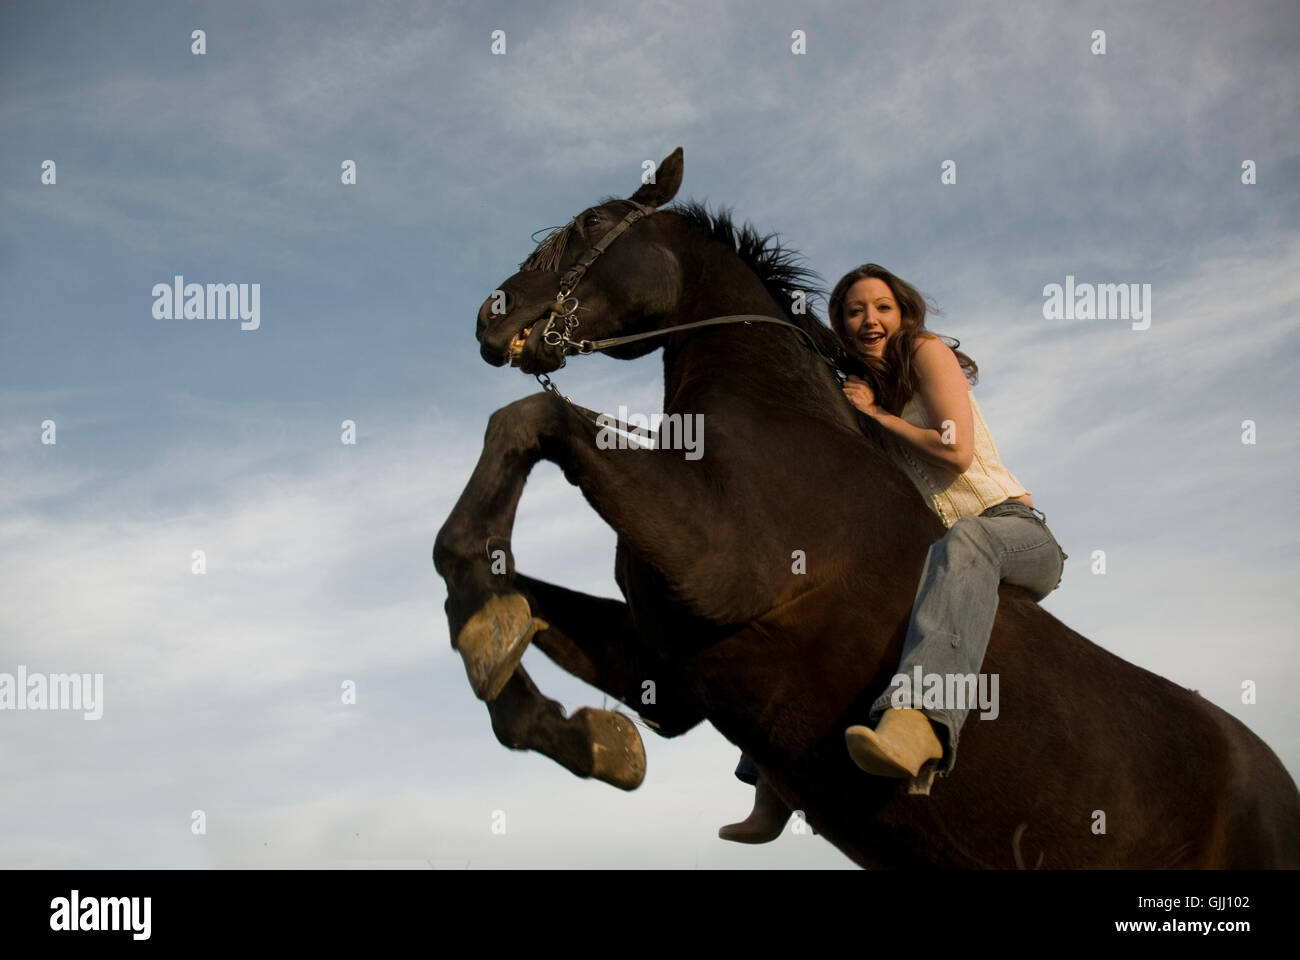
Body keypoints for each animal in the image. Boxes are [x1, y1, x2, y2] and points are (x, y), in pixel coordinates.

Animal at [433, 147, 1300, 867]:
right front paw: (589, 734)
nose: (488, 316)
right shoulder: (667, 667)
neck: (775, 417)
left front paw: (486, 635)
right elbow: (525, 604)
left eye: (589, 225)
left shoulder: (721, 565)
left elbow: (529, 421)